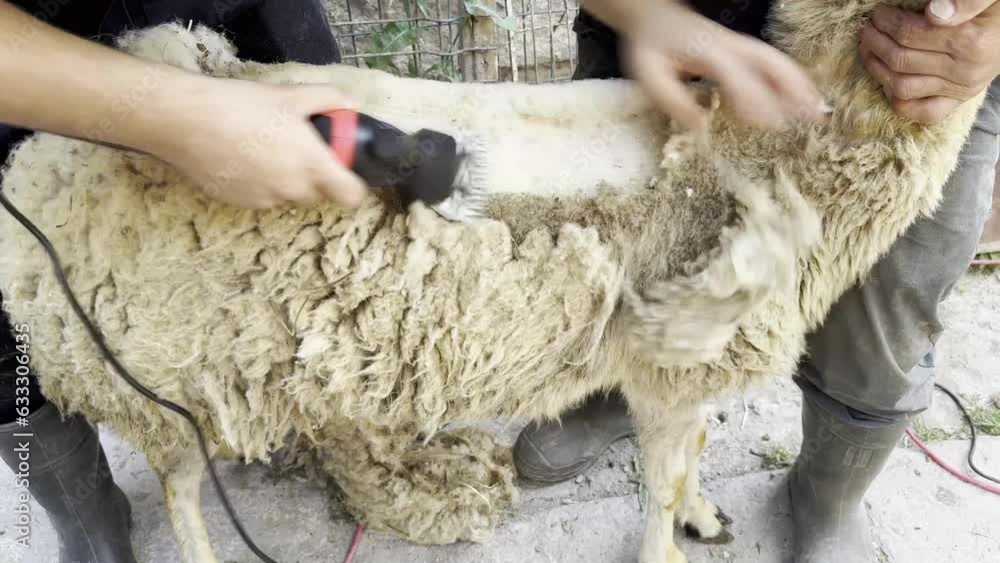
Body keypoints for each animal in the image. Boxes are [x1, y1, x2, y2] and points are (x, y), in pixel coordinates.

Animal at [0, 0, 987, 561]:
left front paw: (706, 515)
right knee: (176, 494)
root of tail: (43, 162)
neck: (765, 144)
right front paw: (673, 539)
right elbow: (664, 482)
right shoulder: (671, 364)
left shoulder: (675, 374)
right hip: (155, 381)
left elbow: (693, 458)